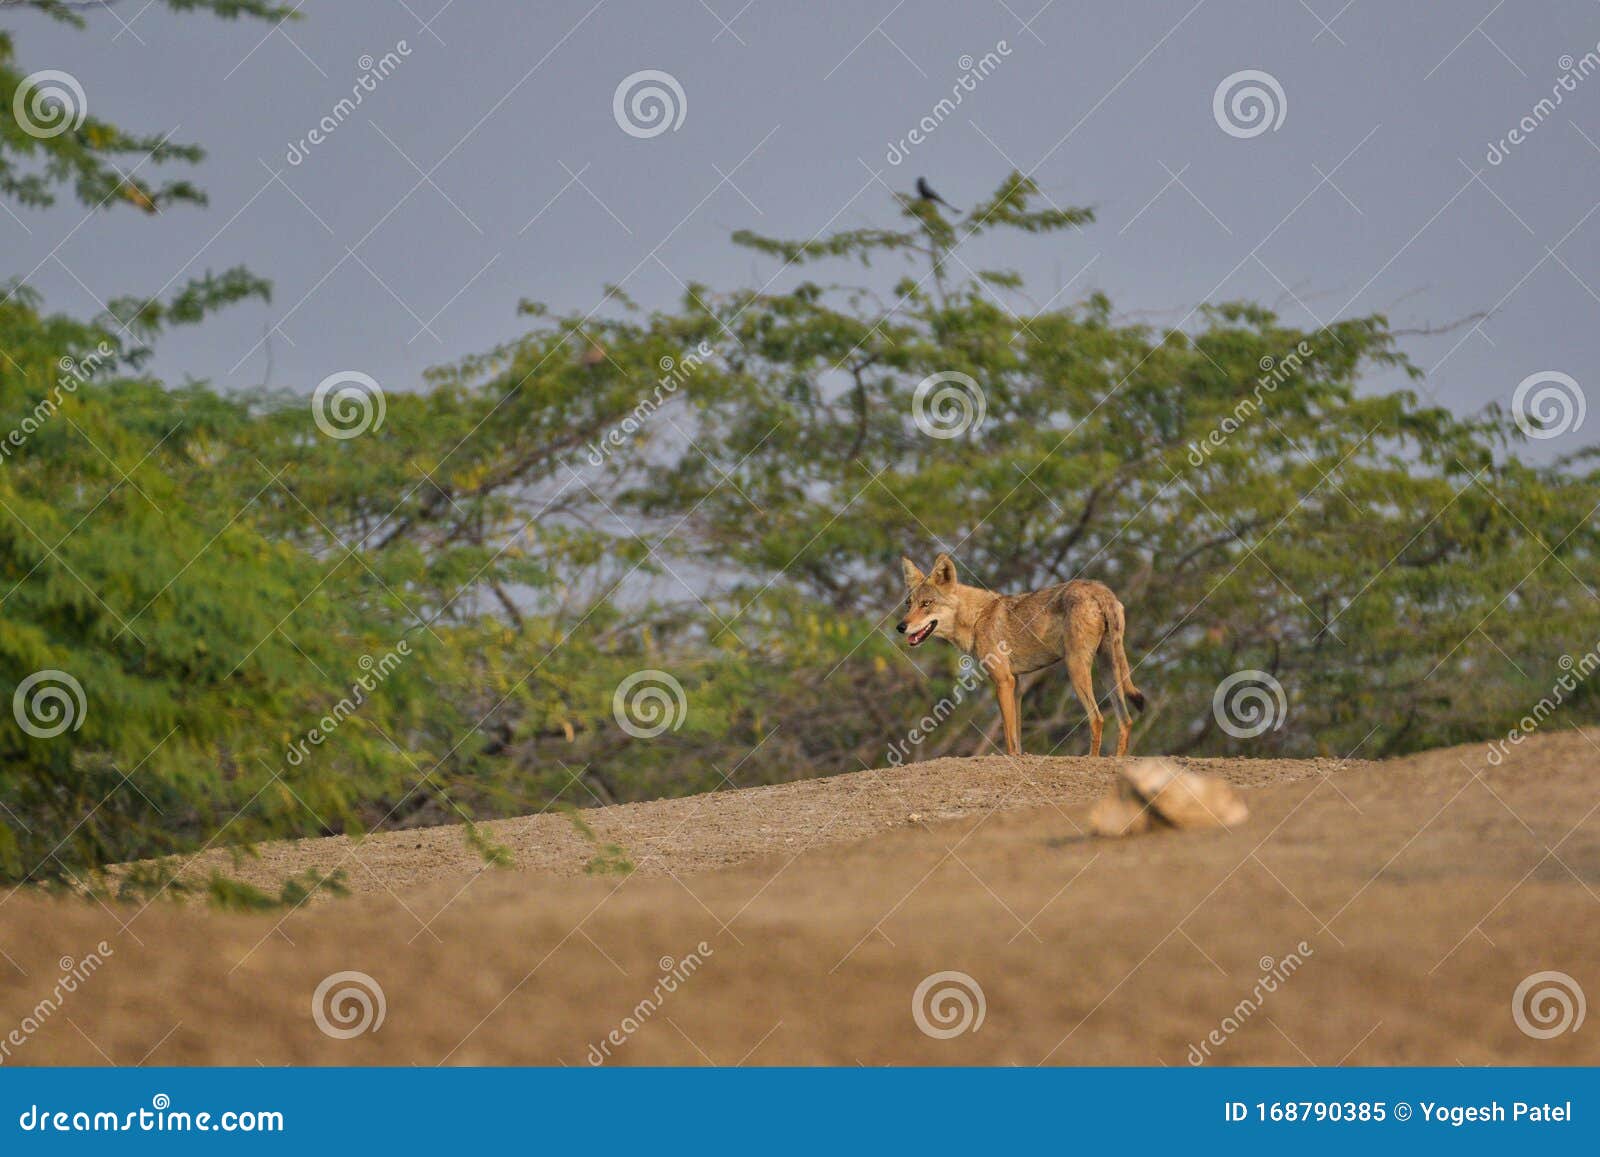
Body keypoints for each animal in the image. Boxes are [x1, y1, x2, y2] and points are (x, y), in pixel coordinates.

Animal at [897, 553, 1146, 757]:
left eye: (926, 604)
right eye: (909, 604)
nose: (900, 627)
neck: (977, 618)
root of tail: (1100, 589)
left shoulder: (1003, 681)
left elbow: (1009, 736)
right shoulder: (1016, 684)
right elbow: (1016, 736)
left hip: (1076, 670)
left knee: (1098, 719)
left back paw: (1091, 759)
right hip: (1108, 670)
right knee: (1125, 721)